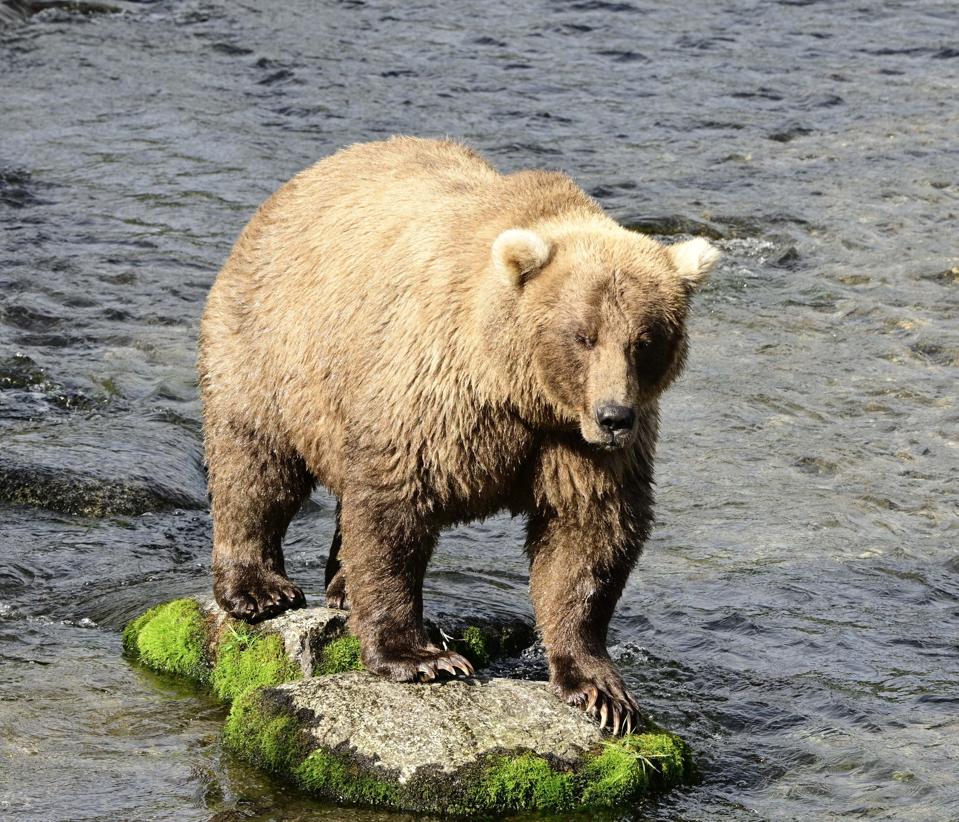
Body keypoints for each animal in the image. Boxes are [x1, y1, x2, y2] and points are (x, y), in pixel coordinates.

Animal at [197, 136, 719, 735]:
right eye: (583, 336)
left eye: (645, 340)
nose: (615, 416)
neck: (519, 392)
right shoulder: (437, 398)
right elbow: (394, 507)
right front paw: (423, 657)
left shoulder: (578, 450)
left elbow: (587, 539)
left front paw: (601, 691)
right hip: (274, 348)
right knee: (257, 465)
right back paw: (259, 590)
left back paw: (341, 588)